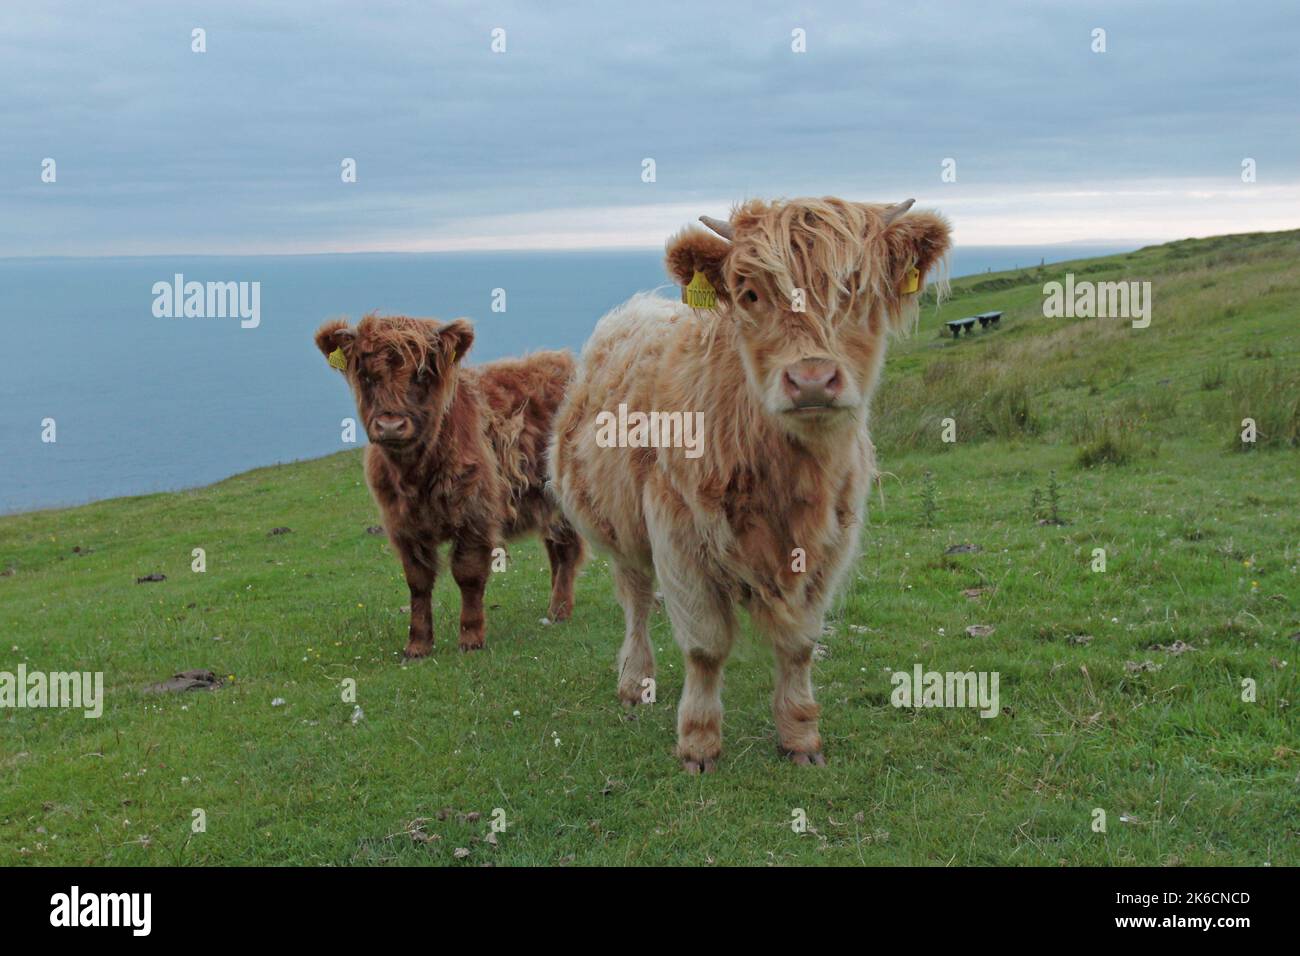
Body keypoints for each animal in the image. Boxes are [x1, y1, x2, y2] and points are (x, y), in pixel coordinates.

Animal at [314, 313, 584, 656]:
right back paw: (554, 610)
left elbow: (467, 574)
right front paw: (417, 645)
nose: (390, 425)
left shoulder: (474, 514)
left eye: (421, 373)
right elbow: (417, 582)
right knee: (556, 550)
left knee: (567, 549)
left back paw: (559, 609)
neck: (415, 474)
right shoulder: (402, 525)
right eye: (366, 374)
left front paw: (470, 638)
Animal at [548, 197, 951, 771]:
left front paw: (801, 736)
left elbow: (800, 644)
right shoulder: (676, 531)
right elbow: (705, 646)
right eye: (752, 294)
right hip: (618, 530)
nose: (811, 380)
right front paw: (698, 743)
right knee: (636, 601)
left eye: (857, 290)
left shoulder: (829, 543)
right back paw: (634, 681)